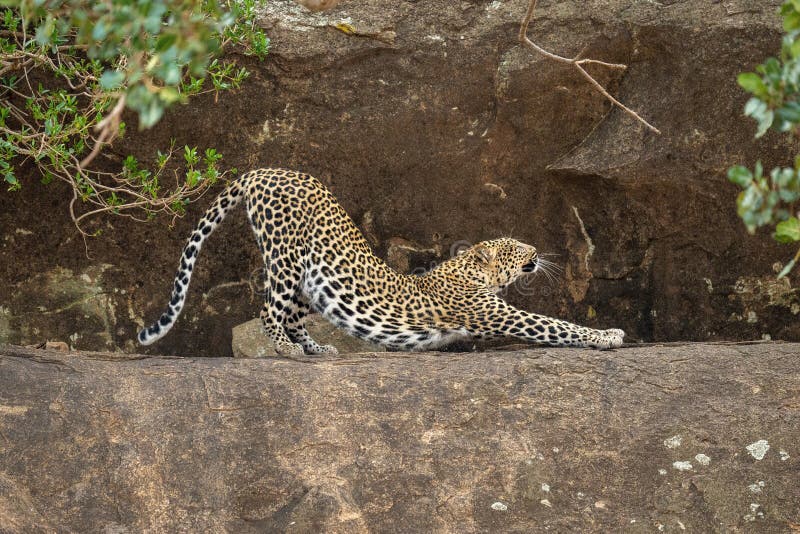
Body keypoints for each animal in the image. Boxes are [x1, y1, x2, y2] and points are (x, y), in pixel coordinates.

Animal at [138, 168, 625, 354]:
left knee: (293, 315)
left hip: (311, 281)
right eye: (514, 246)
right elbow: (557, 325)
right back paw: (285, 349)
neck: (471, 271)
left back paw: (316, 349)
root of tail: (267, 170)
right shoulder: (497, 315)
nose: (537, 253)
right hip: (284, 257)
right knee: (268, 311)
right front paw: (609, 335)